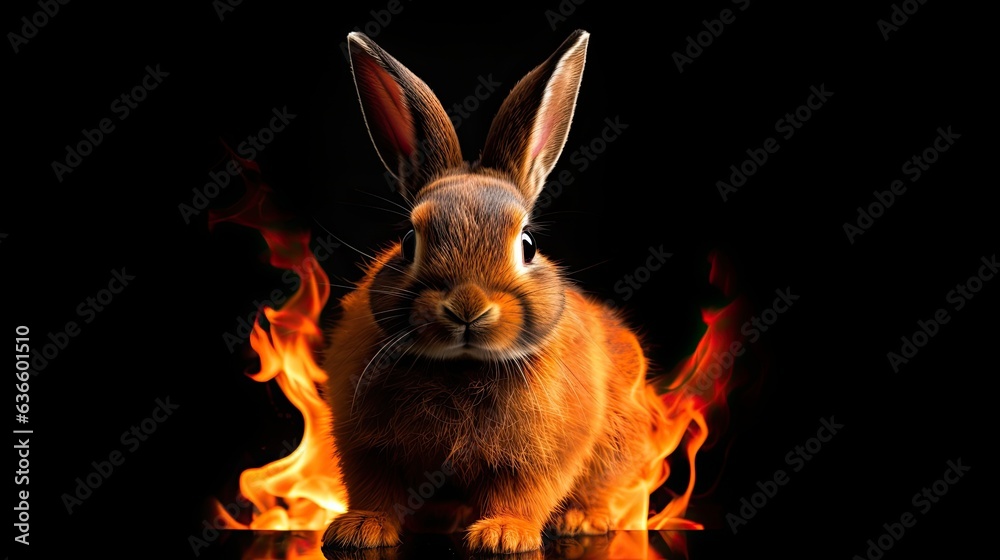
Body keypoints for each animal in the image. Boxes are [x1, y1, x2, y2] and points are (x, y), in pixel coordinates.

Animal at [322, 29, 659, 555]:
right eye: (409, 241)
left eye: (528, 245)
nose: (467, 307)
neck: (460, 366)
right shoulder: (365, 445)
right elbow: (375, 488)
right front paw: (361, 529)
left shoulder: (542, 455)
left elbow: (522, 491)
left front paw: (503, 534)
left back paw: (582, 520)